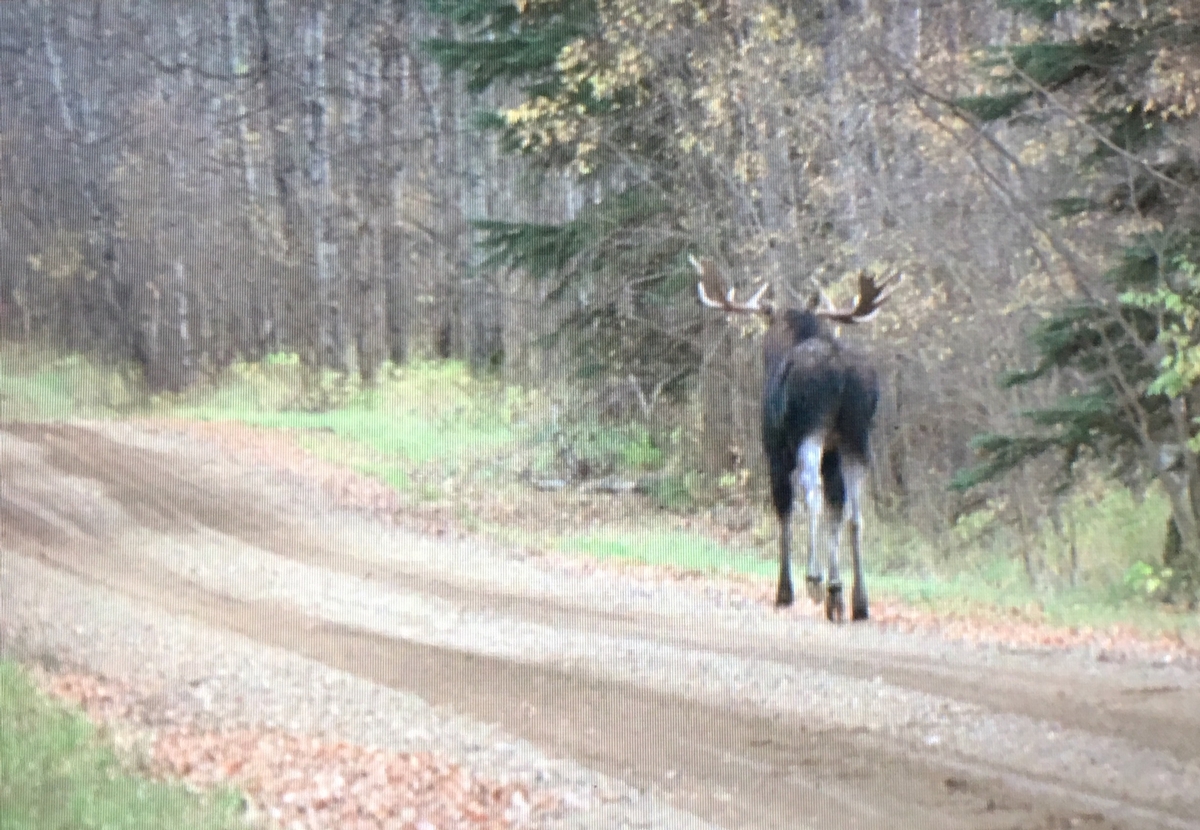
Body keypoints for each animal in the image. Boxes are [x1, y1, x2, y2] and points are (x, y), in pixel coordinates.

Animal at [692, 255, 901, 622]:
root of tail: (842, 371)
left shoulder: (773, 449)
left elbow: (784, 510)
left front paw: (785, 591)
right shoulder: (834, 453)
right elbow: (838, 508)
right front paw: (837, 592)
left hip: (811, 429)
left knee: (812, 490)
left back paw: (815, 580)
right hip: (857, 435)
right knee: (855, 511)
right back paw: (858, 601)